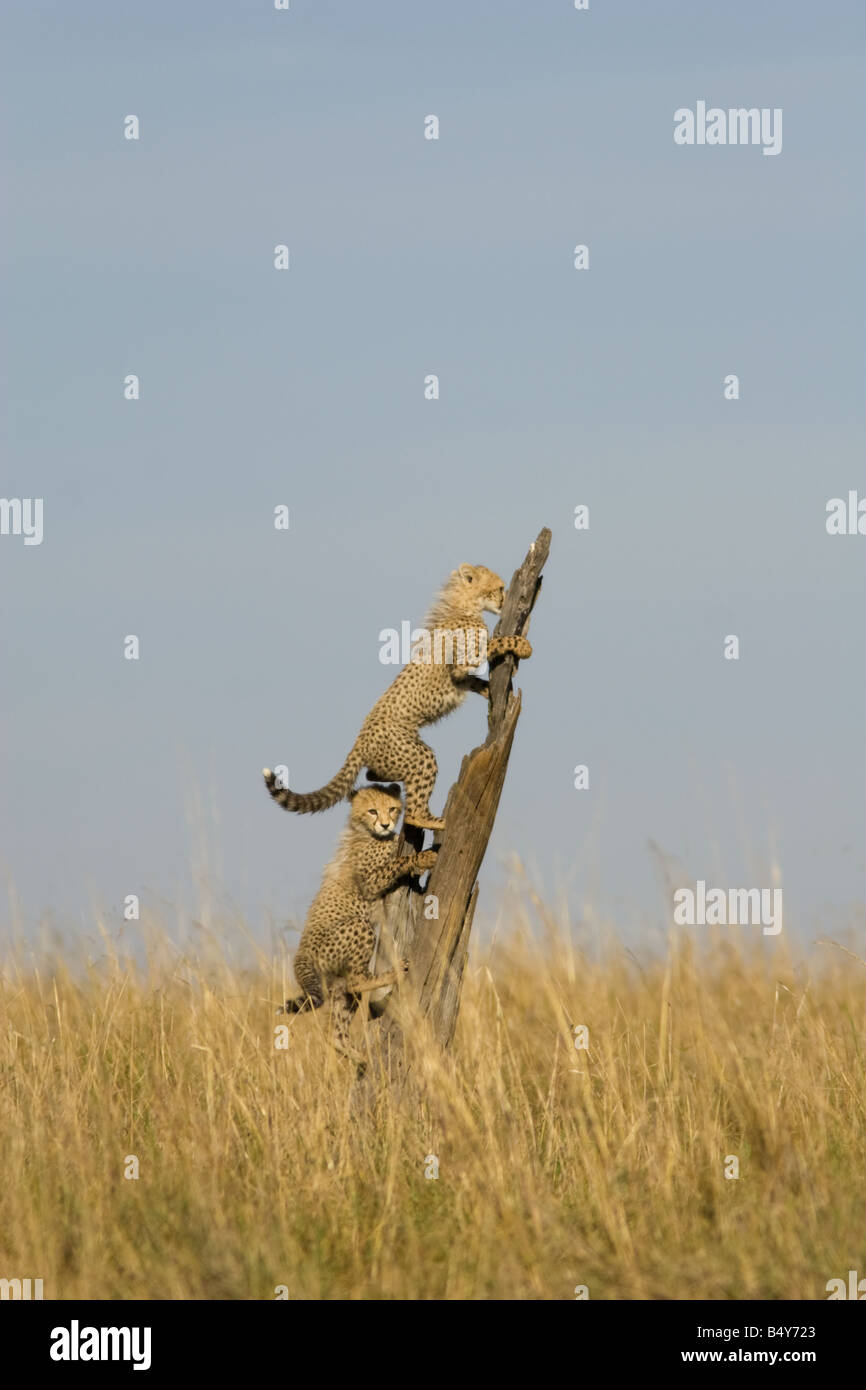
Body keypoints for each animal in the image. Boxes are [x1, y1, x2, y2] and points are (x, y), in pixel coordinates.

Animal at [263, 562, 532, 829]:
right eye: (499, 587)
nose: (504, 599)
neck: (465, 605)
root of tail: (359, 740)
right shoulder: (461, 662)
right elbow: (492, 644)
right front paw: (521, 644)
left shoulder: (460, 675)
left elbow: (473, 680)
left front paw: (489, 690)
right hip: (415, 753)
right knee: (412, 807)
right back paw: (433, 821)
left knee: (372, 773)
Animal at [279, 783, 437, 1064]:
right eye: (372, 810)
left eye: (392, 808)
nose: (385, 824)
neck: (366, 832)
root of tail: (301, 953)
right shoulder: (370, 881)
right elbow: (397, 862)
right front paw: (422, 858)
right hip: (357, 928)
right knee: (357, 981)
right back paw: (391, 974)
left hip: (338, 986)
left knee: (335, 1026)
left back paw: (357, 1055)